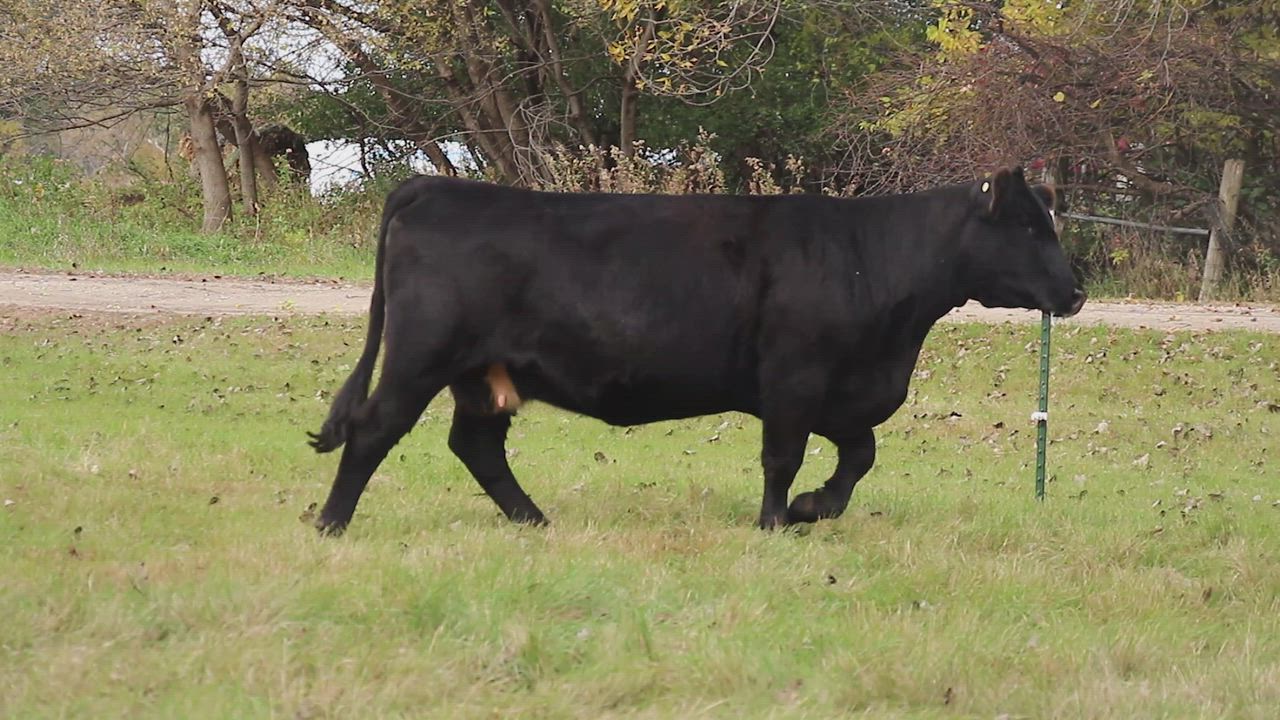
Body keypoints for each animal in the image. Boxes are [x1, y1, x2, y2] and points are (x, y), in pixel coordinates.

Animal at [308, 167, 1084, 535]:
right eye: (1027, 227)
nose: (1076, 289)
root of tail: (436, 185)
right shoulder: (793, 376)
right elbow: (783, 456)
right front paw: (776, 521)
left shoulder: (841, 390)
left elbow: (859, 454)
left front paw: (814, 509)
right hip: (422, 354)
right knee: (375, 429)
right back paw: (331, 525)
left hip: (483, 373)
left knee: (475, 445)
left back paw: (535, 521)